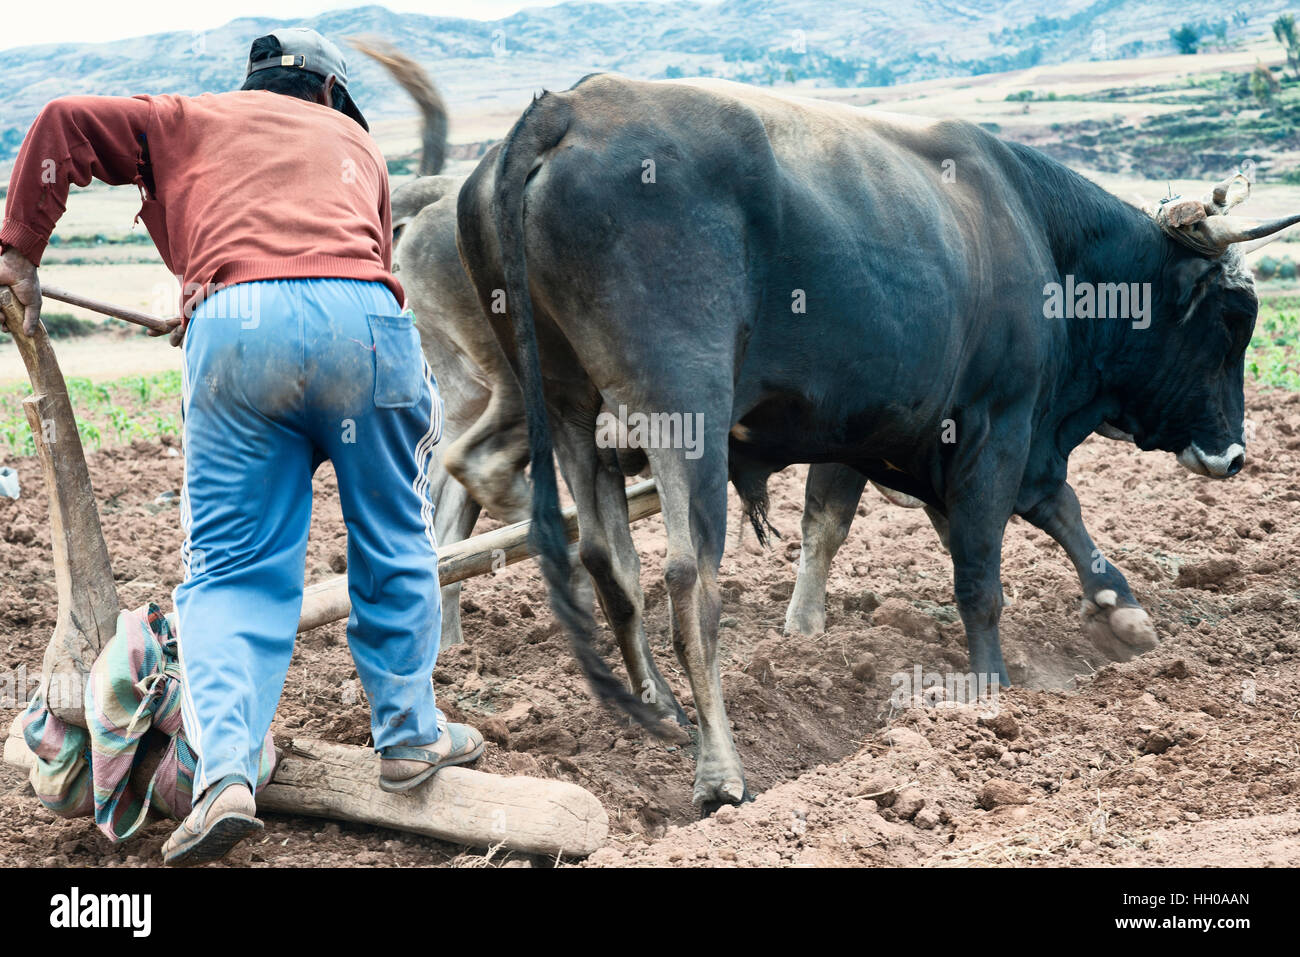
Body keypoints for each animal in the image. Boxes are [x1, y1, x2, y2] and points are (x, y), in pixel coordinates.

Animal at [456, 73, 1297, 809]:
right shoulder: (1000, 421)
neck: (1030, 226)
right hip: (681, 410)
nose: (1234, 455)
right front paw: (990, 694)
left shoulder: (906, 439)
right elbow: (982, 574)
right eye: (1232, 319)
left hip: (571, 412)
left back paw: (659, 706)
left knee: (610, 562)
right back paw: (720, 769)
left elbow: (1044, 512)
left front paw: (1119, 606)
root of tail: (568, 106)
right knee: (690, 579)